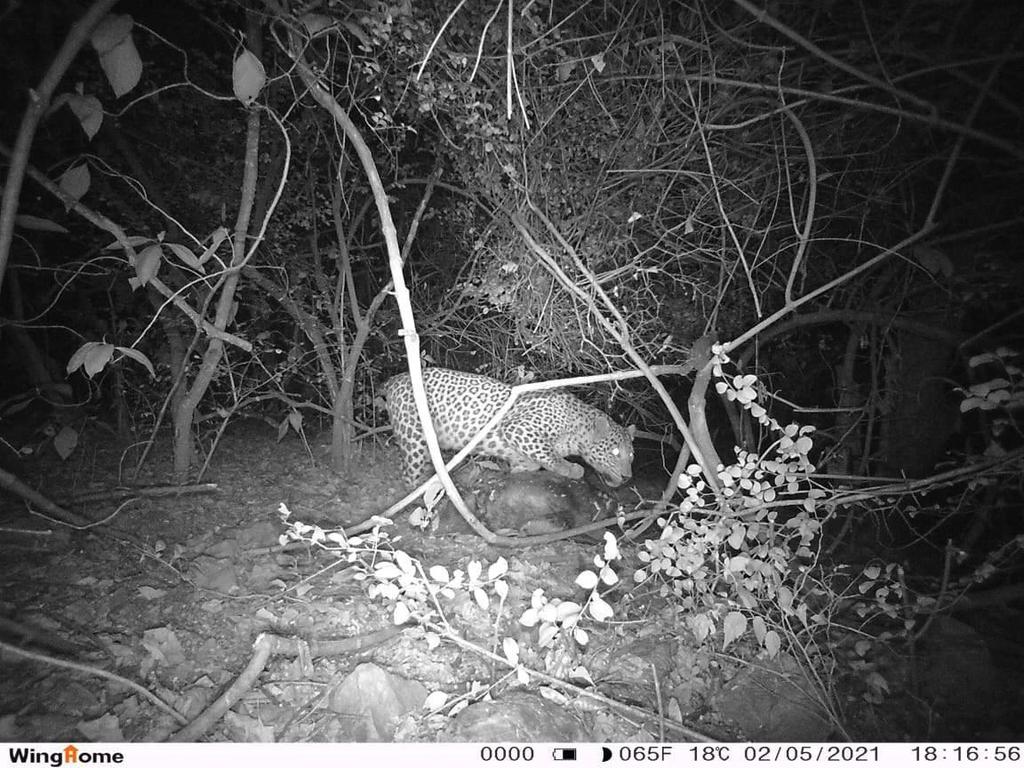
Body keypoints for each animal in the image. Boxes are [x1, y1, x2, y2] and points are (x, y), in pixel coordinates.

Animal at [383, 367, 635, 489]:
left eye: (631, 455)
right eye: (614, 453)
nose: (627, 476)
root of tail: (396, 378)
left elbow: (532, 463)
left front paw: (517, 470)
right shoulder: (520, 428)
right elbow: (550, 455)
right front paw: (572, 469)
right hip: (414, 435)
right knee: (409, 474)